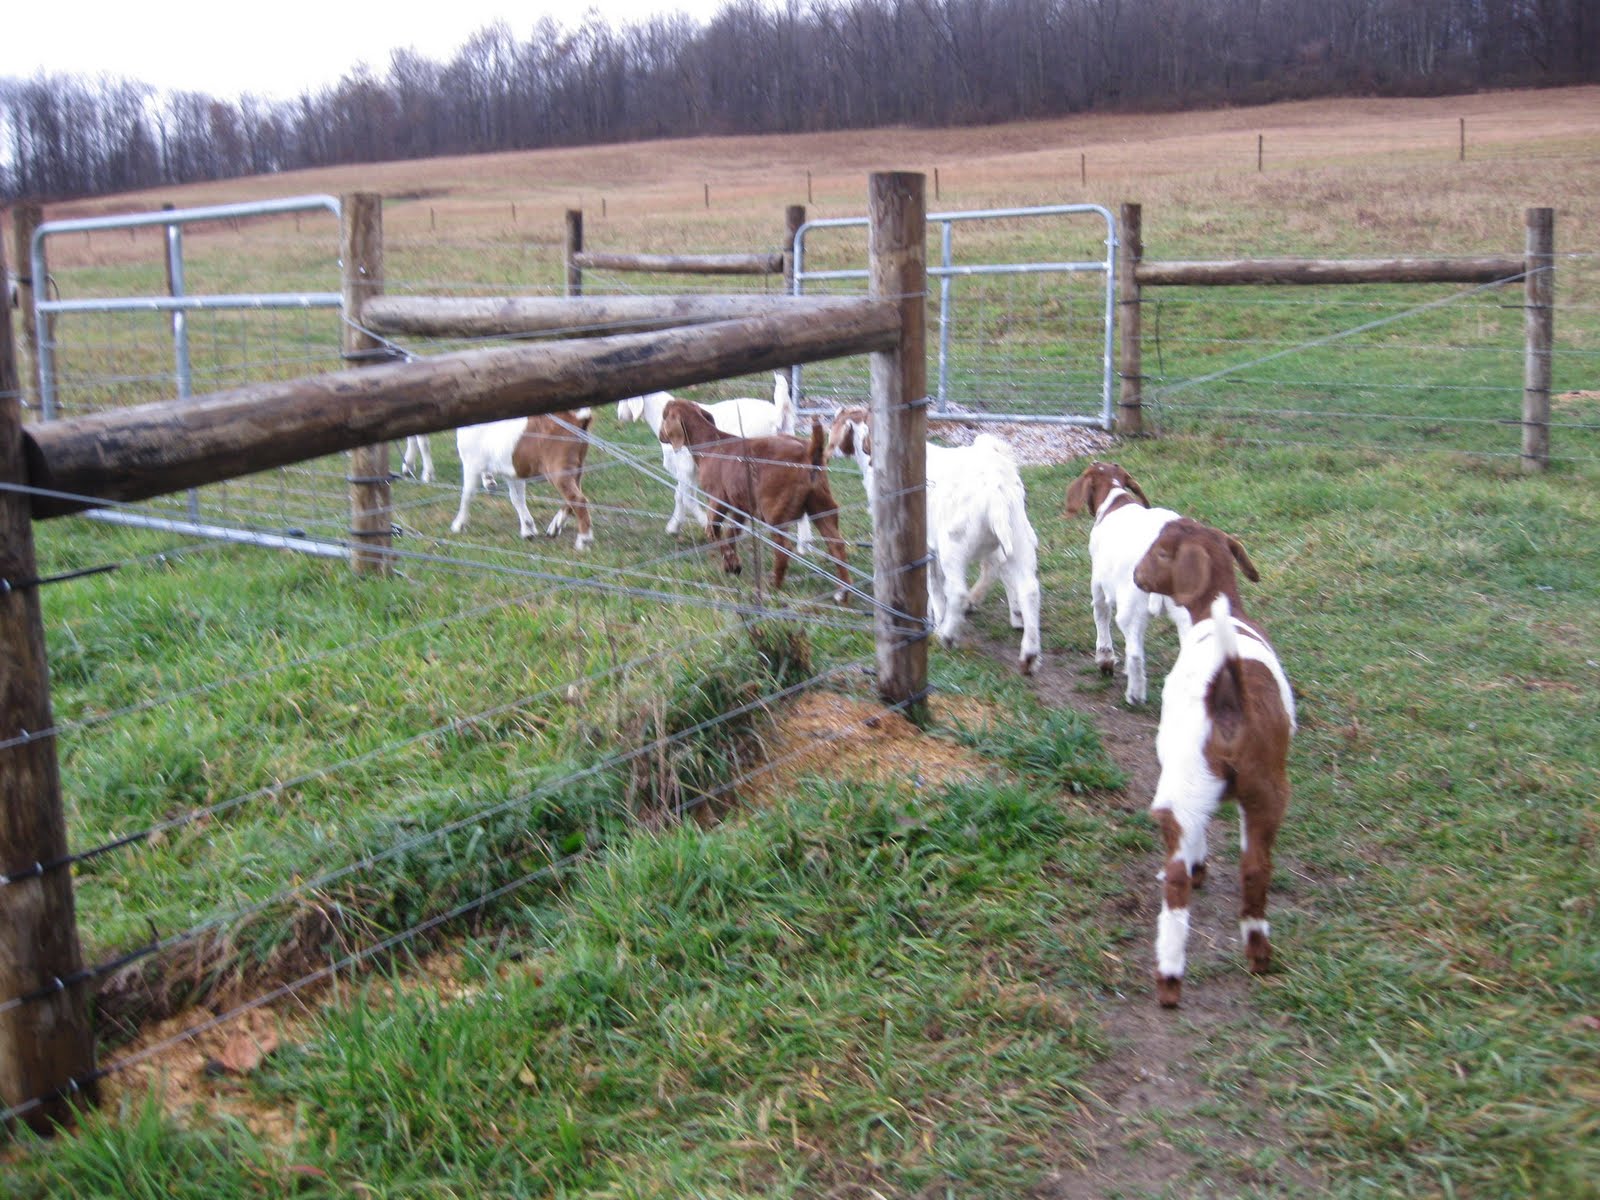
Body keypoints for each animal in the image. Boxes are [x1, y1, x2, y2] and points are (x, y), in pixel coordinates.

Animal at [449, 409, 594, 550]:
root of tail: (578, 420)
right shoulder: (513, 474)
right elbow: (517, 499)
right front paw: (528, 530)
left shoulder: (471, 464)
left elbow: (467, 494)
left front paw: (458, 525)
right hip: (576, 468)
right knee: (577, 497)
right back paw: (555, 527)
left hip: (557, 470)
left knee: (578, 499)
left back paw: (583, 540)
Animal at [658, 398, 849, 603]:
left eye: (664, 416)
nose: (660, 435)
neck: (711, 444)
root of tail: (810, 451)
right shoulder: (740, 504)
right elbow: (731, 533)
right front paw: (732, 565)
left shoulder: (718, 498)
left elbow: (714, 532)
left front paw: (731, 563)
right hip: (821, 504)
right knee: (836, 544)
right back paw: (842, 593)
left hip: (775, 508)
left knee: (783, 548)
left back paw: (773, 586)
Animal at [827, 407, 1042, 673]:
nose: (832, 450)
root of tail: (996, 492)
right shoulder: (930, 548)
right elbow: (934, 584)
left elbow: (933, 587)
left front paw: (934, 620)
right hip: (1019, 538)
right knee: (1029, 589)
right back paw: (1029, 654)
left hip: (954, 545)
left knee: (958, 591)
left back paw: (947, 636)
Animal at [1063, 461, 1204, 705]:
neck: (1116, 500)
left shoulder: (1097, 581)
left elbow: (1101, 614)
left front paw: (1105, 660)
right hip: (1189, 609)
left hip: (1132, 607)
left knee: (1136, 653)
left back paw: (1135, 696)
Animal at [1132, 518, 1295, 1008]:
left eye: (1161, 551)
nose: (1136, 576)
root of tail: (1227, 697)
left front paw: (1201, 866)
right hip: (1267, 791)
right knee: (1256, 869)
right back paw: (1258, 953)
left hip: (1180, 788)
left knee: (1175, 881)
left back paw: (1169, 977)